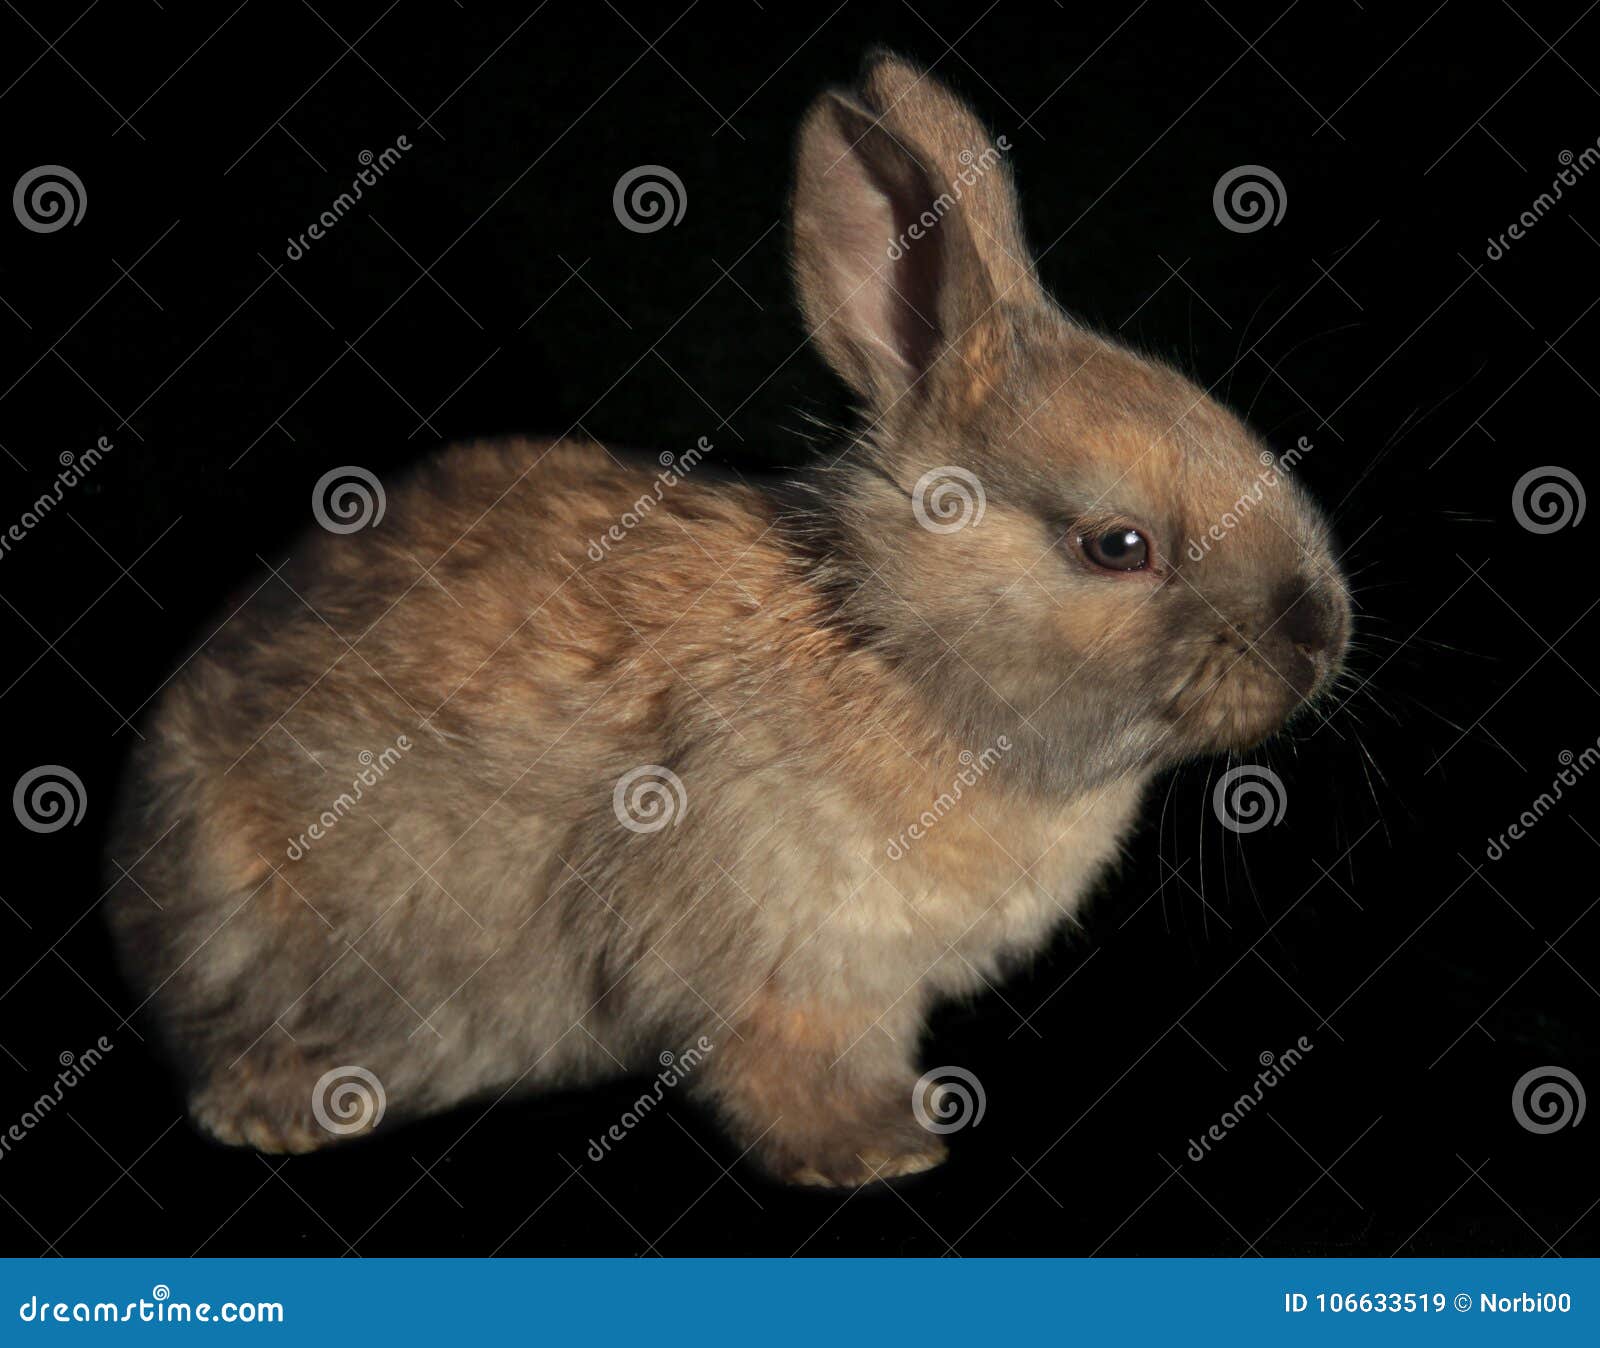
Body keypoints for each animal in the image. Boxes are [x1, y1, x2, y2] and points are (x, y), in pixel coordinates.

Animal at [105, 50, 1351, 1188]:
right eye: (1117, 547)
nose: (1318, 637)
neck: (892, 650)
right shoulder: (784, 971)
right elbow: (782, 1071)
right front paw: (880, 1151)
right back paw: (282, 1107)